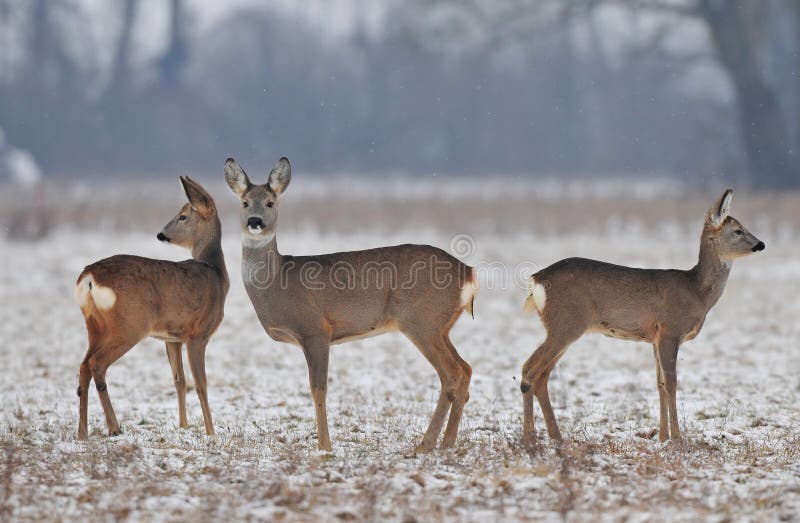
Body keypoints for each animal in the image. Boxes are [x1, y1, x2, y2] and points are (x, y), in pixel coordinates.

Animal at [75, 177, 229, 440]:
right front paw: (211, 432)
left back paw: (82, 433)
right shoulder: (198, 334)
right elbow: (201, 383)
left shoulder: (172, 337)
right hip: (129, 325)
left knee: (84, 365)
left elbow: (179, 379)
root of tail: (90, 276)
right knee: (97, 364)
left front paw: (183, 426)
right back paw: (114, 427)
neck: (216, 273)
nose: (161, 234)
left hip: (95, 325)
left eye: (182, 216)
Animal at [223, 157, 477, 453]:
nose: (255, 221)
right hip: (441, 325)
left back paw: (424, 445)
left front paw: (325, 446)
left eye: (270, 202)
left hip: (421, 321)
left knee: (451, 374)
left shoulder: (315, 330)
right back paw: (447, 443)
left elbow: (318, 389)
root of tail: (468, 272)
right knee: (465, 369)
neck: (277, 282)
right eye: (244, 202)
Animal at [520, 189, 764, 442]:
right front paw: (677, 438)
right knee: (529, 371)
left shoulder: (654, 338)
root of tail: (536, 280)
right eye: (738, 230)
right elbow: (671, 382)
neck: (697, 292)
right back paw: (529, 438)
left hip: (563, 328)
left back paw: (556, 437)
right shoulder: (670, 330)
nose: (761, 244)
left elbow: (659, 384)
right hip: (565, 324)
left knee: (541, 376)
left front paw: (663, 436)